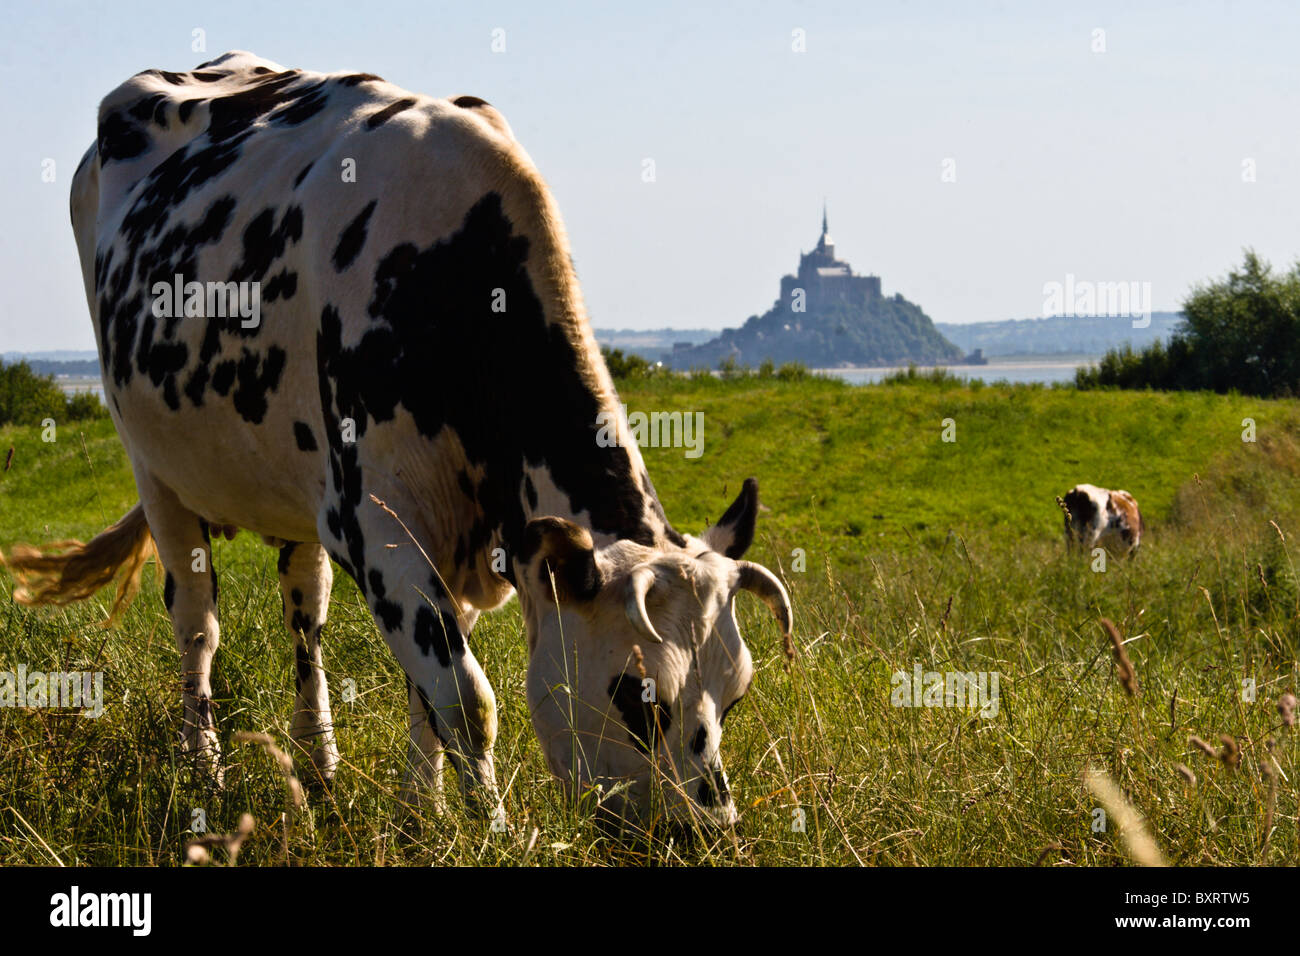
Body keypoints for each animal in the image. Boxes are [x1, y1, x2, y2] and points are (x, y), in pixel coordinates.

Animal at [0, 52, 792, 831]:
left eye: (737, 695)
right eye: (635, 695)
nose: (709, 835)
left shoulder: (457, 539)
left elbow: (428, 687)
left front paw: (423, 811)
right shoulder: (375, 521)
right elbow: (468, 702)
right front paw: (490, 828)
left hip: (297, 488)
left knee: (305, 615)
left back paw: (318, 767)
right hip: (155, 467)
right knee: (197, 622)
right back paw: (206, 770)